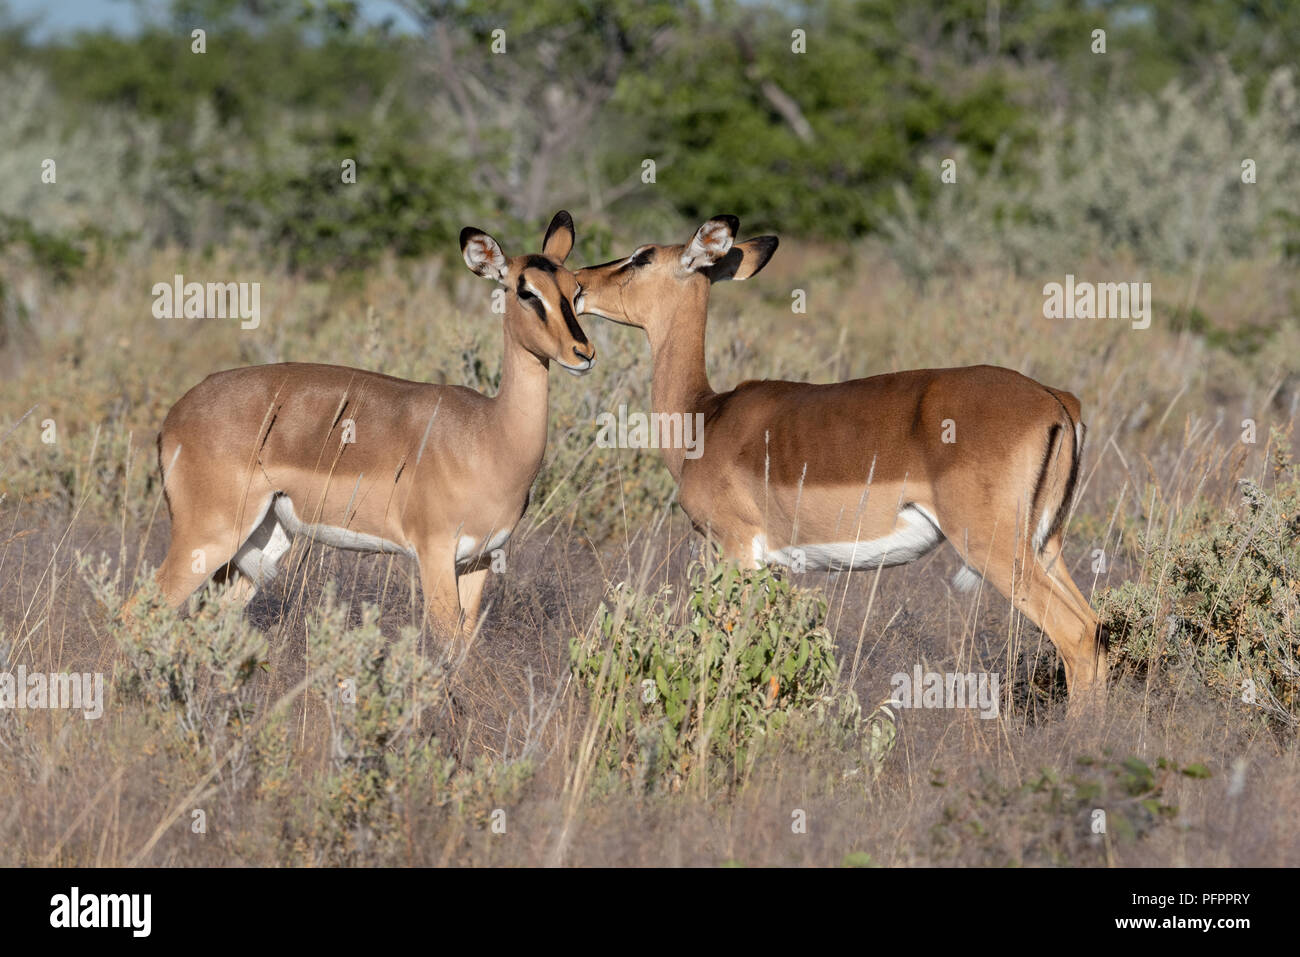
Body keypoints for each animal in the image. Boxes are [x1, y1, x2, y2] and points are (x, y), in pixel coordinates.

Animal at [144, 211, 594, 639]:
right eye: (526, 291)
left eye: (575, 289)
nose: (583, 352)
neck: (488, 434)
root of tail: (175, 416)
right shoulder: (434, 555)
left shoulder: (479, 560)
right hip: (207, 539)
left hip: (264, 540)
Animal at [575, 216, 1106, 705]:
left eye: (641, 256)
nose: (578, 283)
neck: (704, 416)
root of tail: (1057, 401)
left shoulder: (737, 548)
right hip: (1045, 546)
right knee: (1094, 627)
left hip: (992, 546)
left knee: (1076, 635)